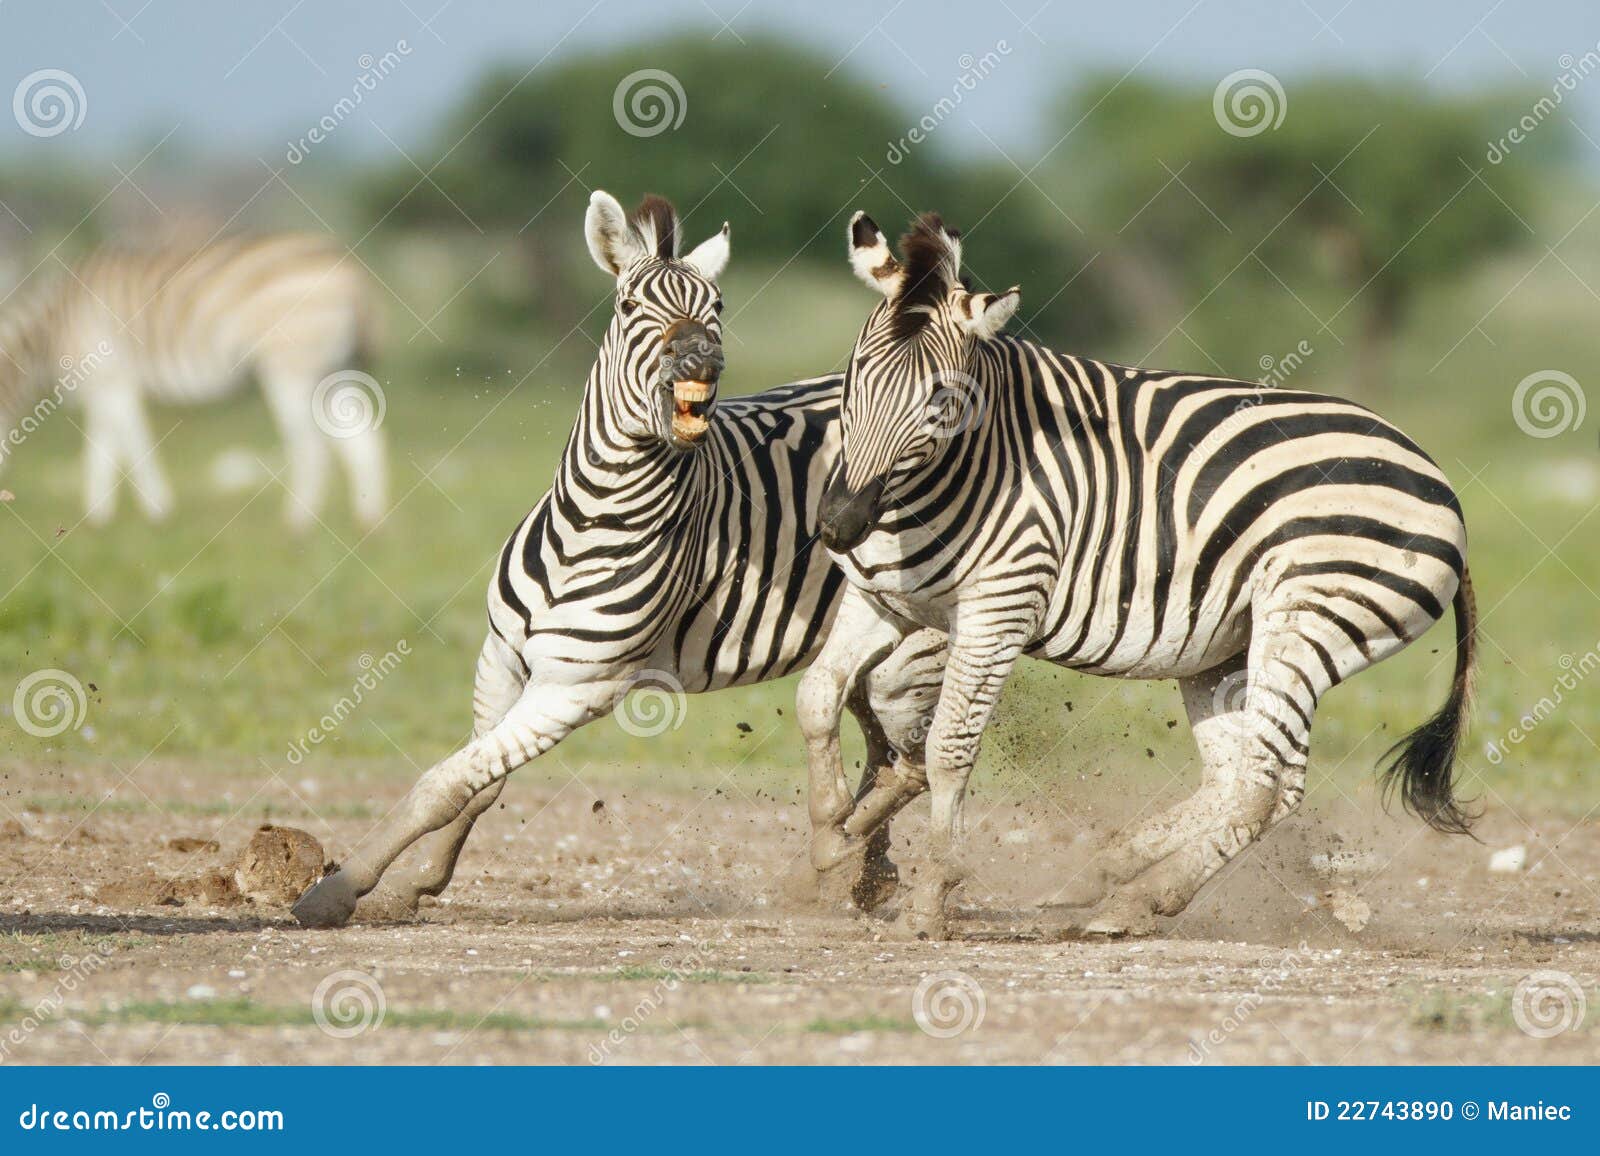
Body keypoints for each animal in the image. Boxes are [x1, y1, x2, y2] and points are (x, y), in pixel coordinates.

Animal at [0, 232, 385, 529]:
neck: (50, 327)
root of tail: (350, 267)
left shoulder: (113, 380)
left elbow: (133, 444)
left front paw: (157, 512)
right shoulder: (100, 387)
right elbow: (101, 451)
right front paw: (96, 521)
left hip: (292, 368)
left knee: (311, 445)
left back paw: (297, 524)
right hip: (332, 371)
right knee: (362, 438)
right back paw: (371, 523)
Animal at [292, 192, 945, 928]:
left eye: (717, 306)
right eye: (631, 305)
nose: (699, 354)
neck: (592, 517)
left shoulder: (576, 687)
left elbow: (446, 782)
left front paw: (338, 890)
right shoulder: (500, 658)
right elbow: (479, 785)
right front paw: (418, 884)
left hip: (906, 663)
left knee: (913, 764)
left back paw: (839, 856)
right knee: (884, 756)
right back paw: (864, 875)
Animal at [799, 210, 1475, 939]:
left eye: (943, 399)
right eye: (854, 374)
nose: (838, 524)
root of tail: (1436, 477)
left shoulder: (997, 610)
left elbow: (949, 746)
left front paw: (930, 899)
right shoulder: (879, 600)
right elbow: (818, 697)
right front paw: (834, 834)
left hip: (1307, 619)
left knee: (1264, 784)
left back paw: (1138, 900)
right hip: (1225, 647)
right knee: (1245, 779)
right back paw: (1106, 873)